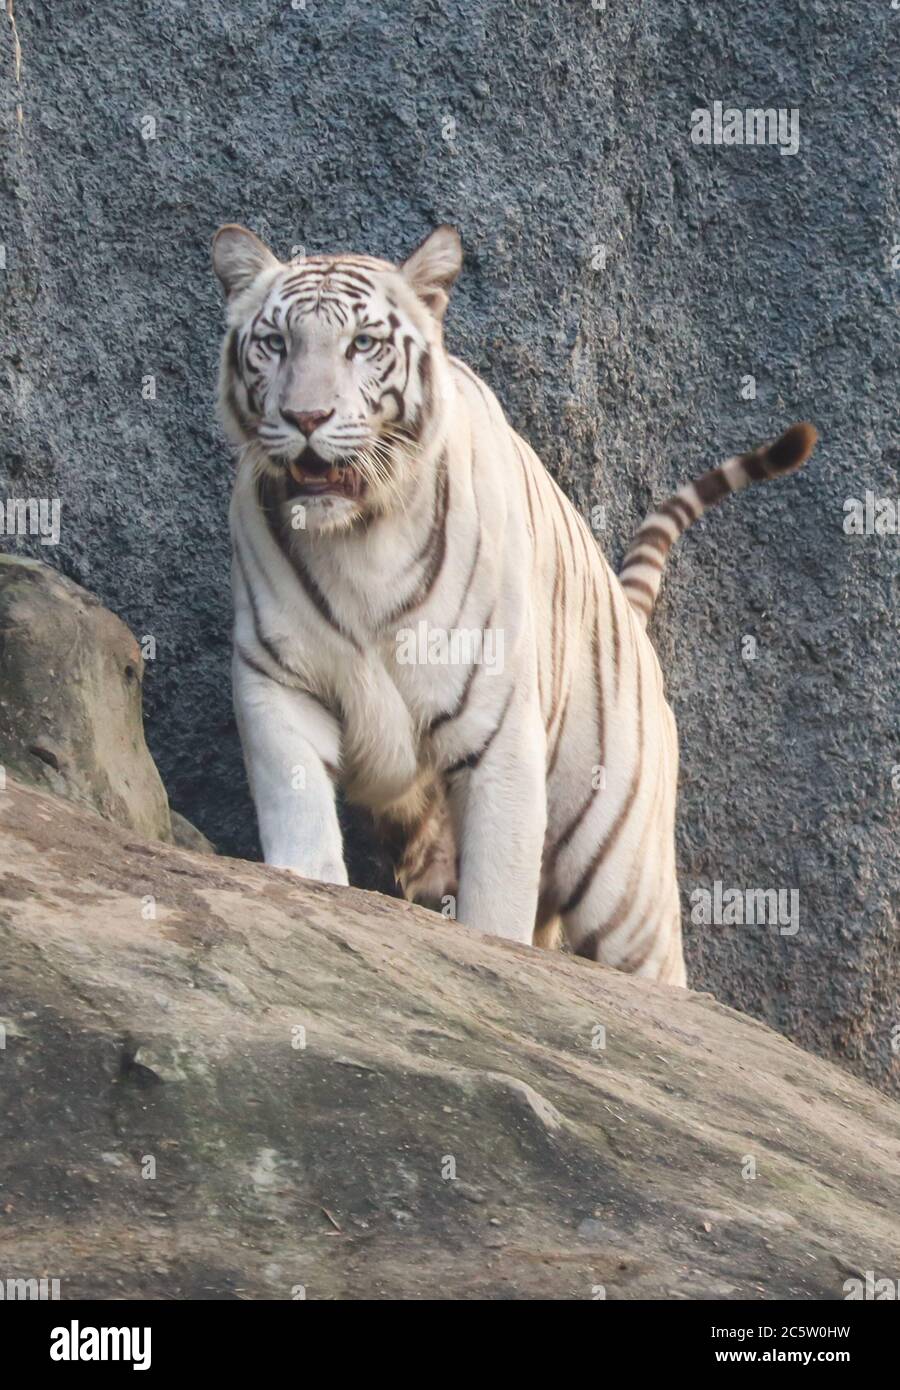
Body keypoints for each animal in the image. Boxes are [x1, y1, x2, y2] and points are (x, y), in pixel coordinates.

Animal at [212, 221, 817, 987]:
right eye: (274, 342)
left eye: (362, 344)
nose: (306, 416)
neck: (357, 539)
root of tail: (631, 623)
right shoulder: (277, 681)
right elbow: (301, 825)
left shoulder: (497, 730)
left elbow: (496, 907)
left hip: (621, 878)